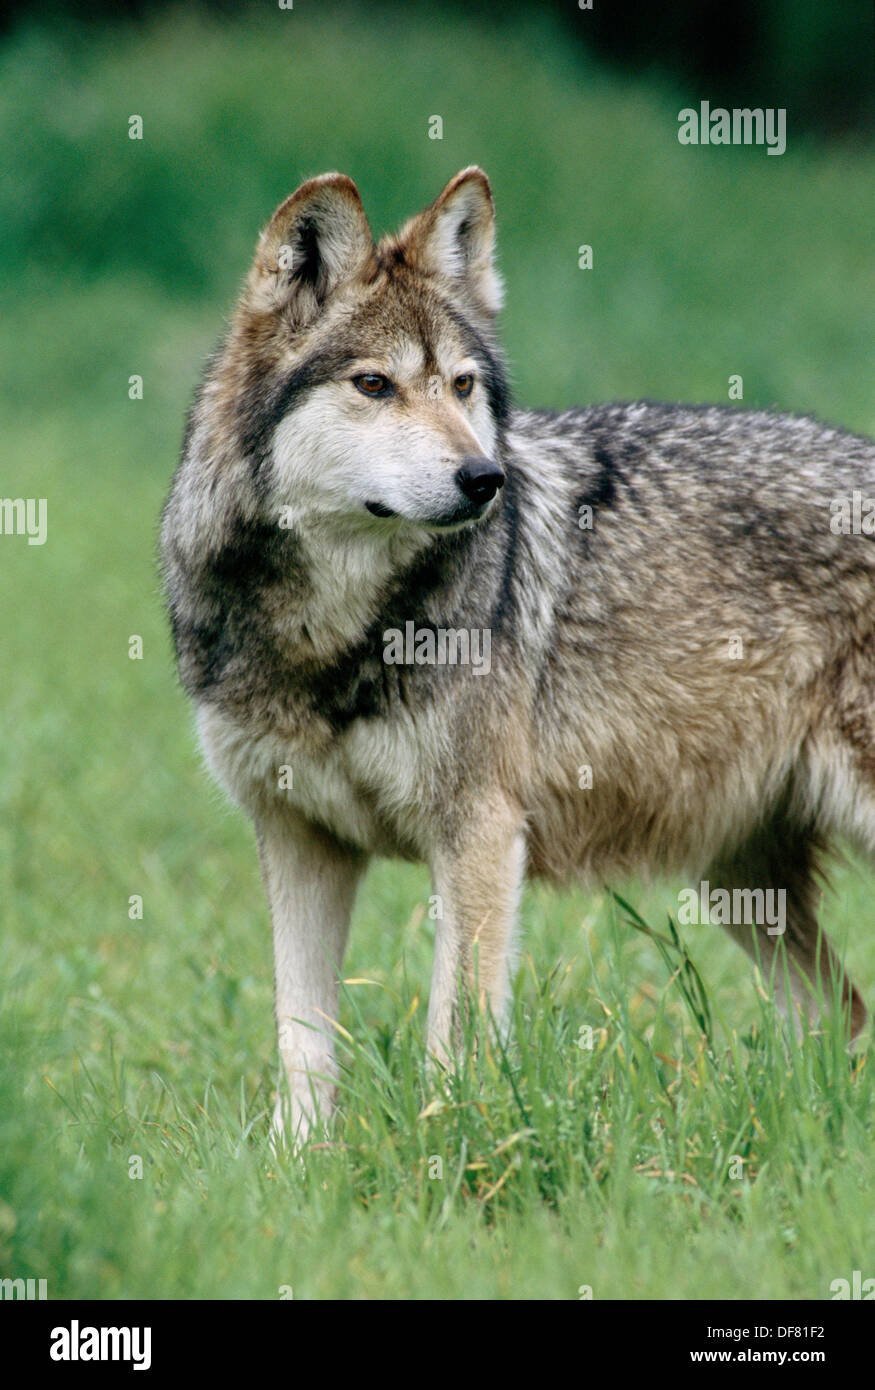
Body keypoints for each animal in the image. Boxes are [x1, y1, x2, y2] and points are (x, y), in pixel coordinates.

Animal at [161, 167, 874, 1146]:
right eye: (374, 385)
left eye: (462, 386)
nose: (484, 479)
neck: (330, 633)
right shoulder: (299, 838)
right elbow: (301, 1041)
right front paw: (297, 1165)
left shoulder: (480, 833)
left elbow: (453, 1037)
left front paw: (441, 1150)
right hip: (738, 880)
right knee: (838, 1016)